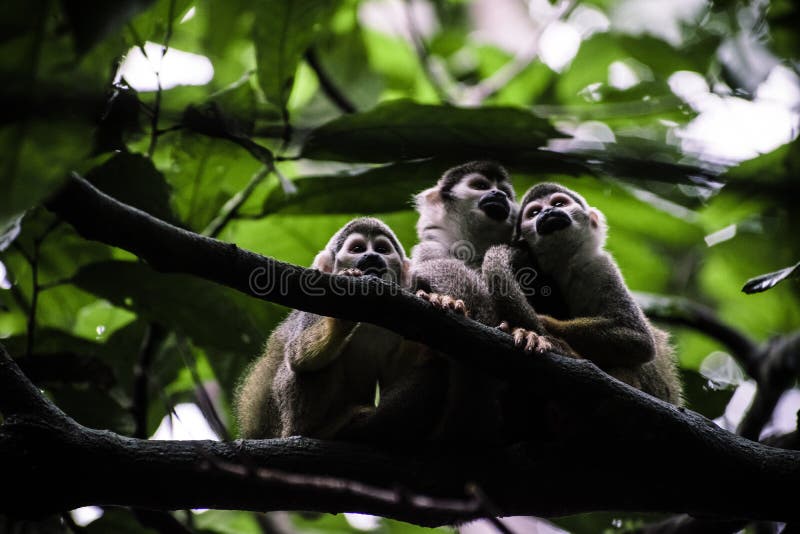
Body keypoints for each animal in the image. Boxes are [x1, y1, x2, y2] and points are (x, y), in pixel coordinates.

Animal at [234, 217, 426, 440]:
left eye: (381, 249)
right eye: (358, 249)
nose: (372, 255)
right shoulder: (316, 306)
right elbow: (297, 356)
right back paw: (311, 430)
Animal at [504, 182, 682, 405]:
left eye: (559, 203)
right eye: (534, 212)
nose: (547, 212)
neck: (565, 264)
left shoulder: (601, 266)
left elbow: (640, 340)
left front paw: (543, 324)